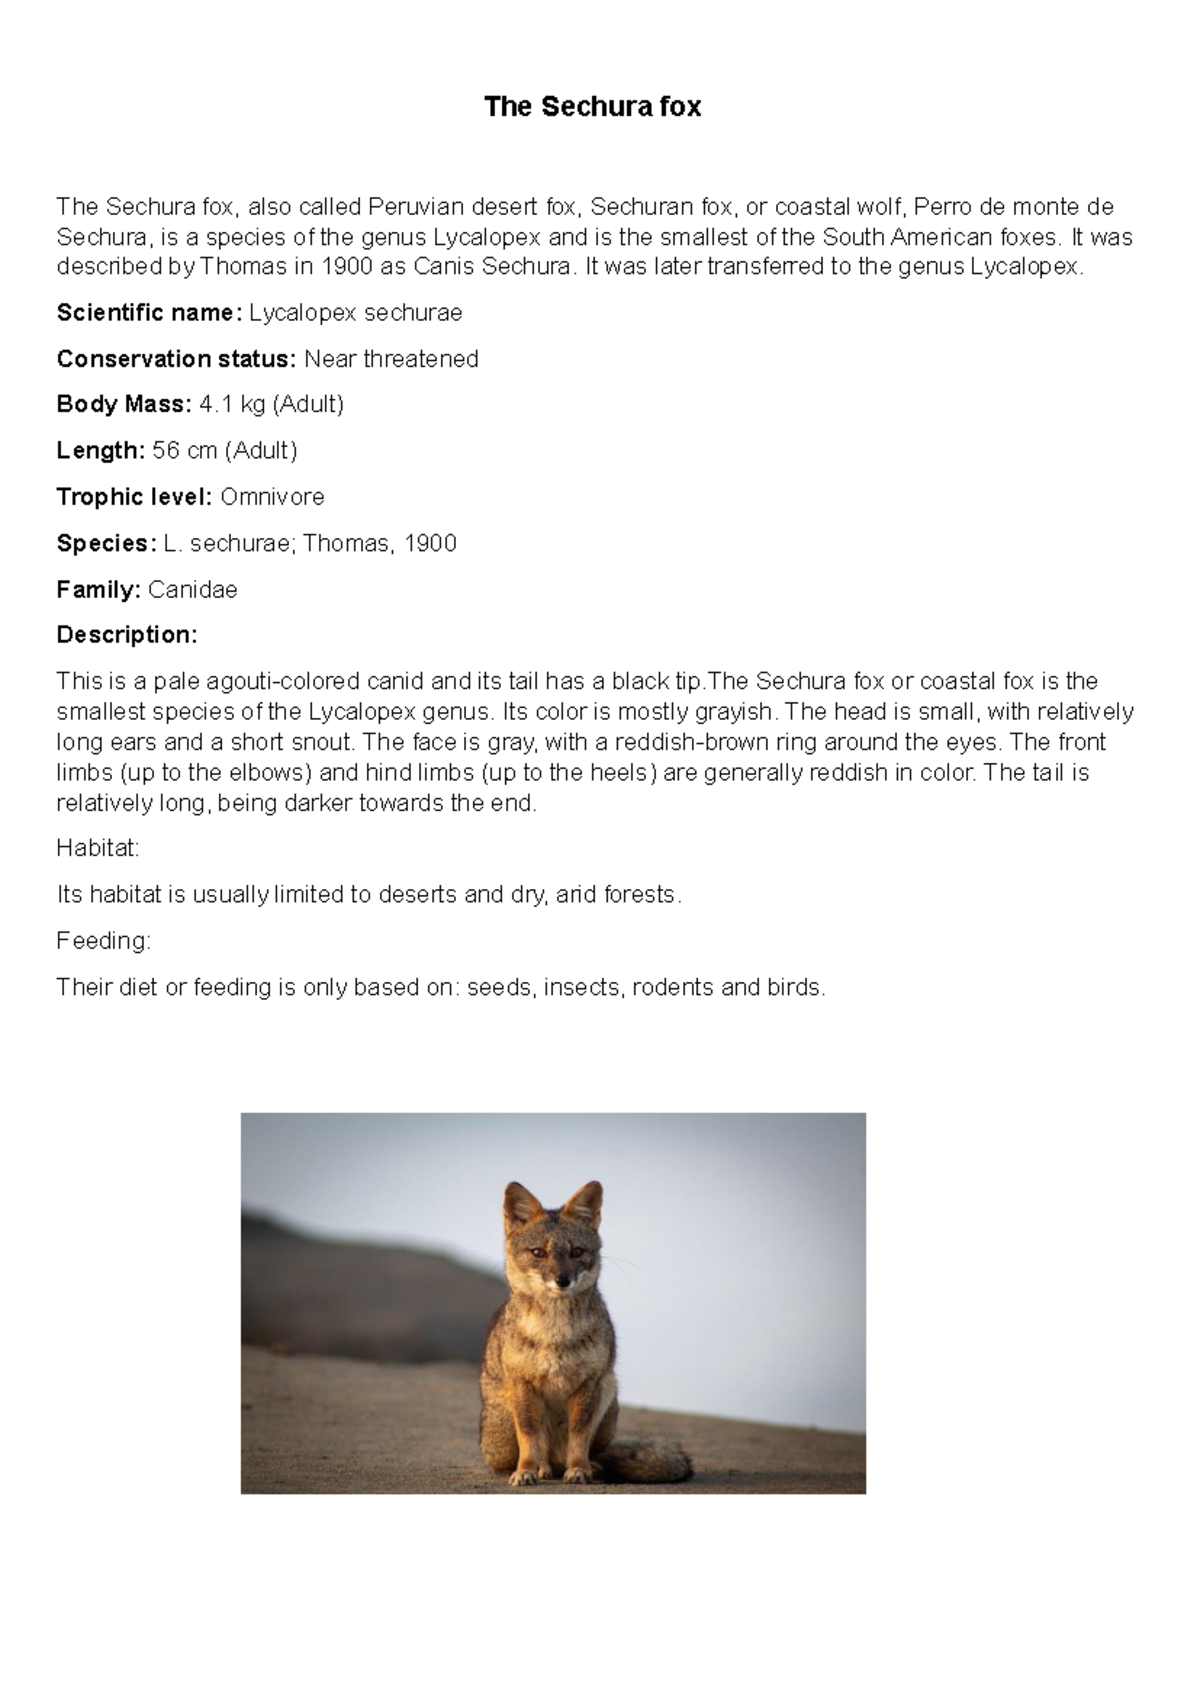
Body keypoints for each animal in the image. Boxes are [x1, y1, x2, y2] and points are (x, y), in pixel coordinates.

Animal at [480, 1180, 693, 1486]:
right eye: (538, 1253)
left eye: (576, 1252)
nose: (562, 1280)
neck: (555, 1333)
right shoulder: (522, 1384)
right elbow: (529, 1436)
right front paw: (525, 1471)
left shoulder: (588, 1383)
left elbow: (579, 1434)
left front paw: (579, 1469)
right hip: (503, 1421)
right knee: (540, 1452)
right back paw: (542, 1467)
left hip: (608, 1391)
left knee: (589, 1450)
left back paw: (588, 1466)